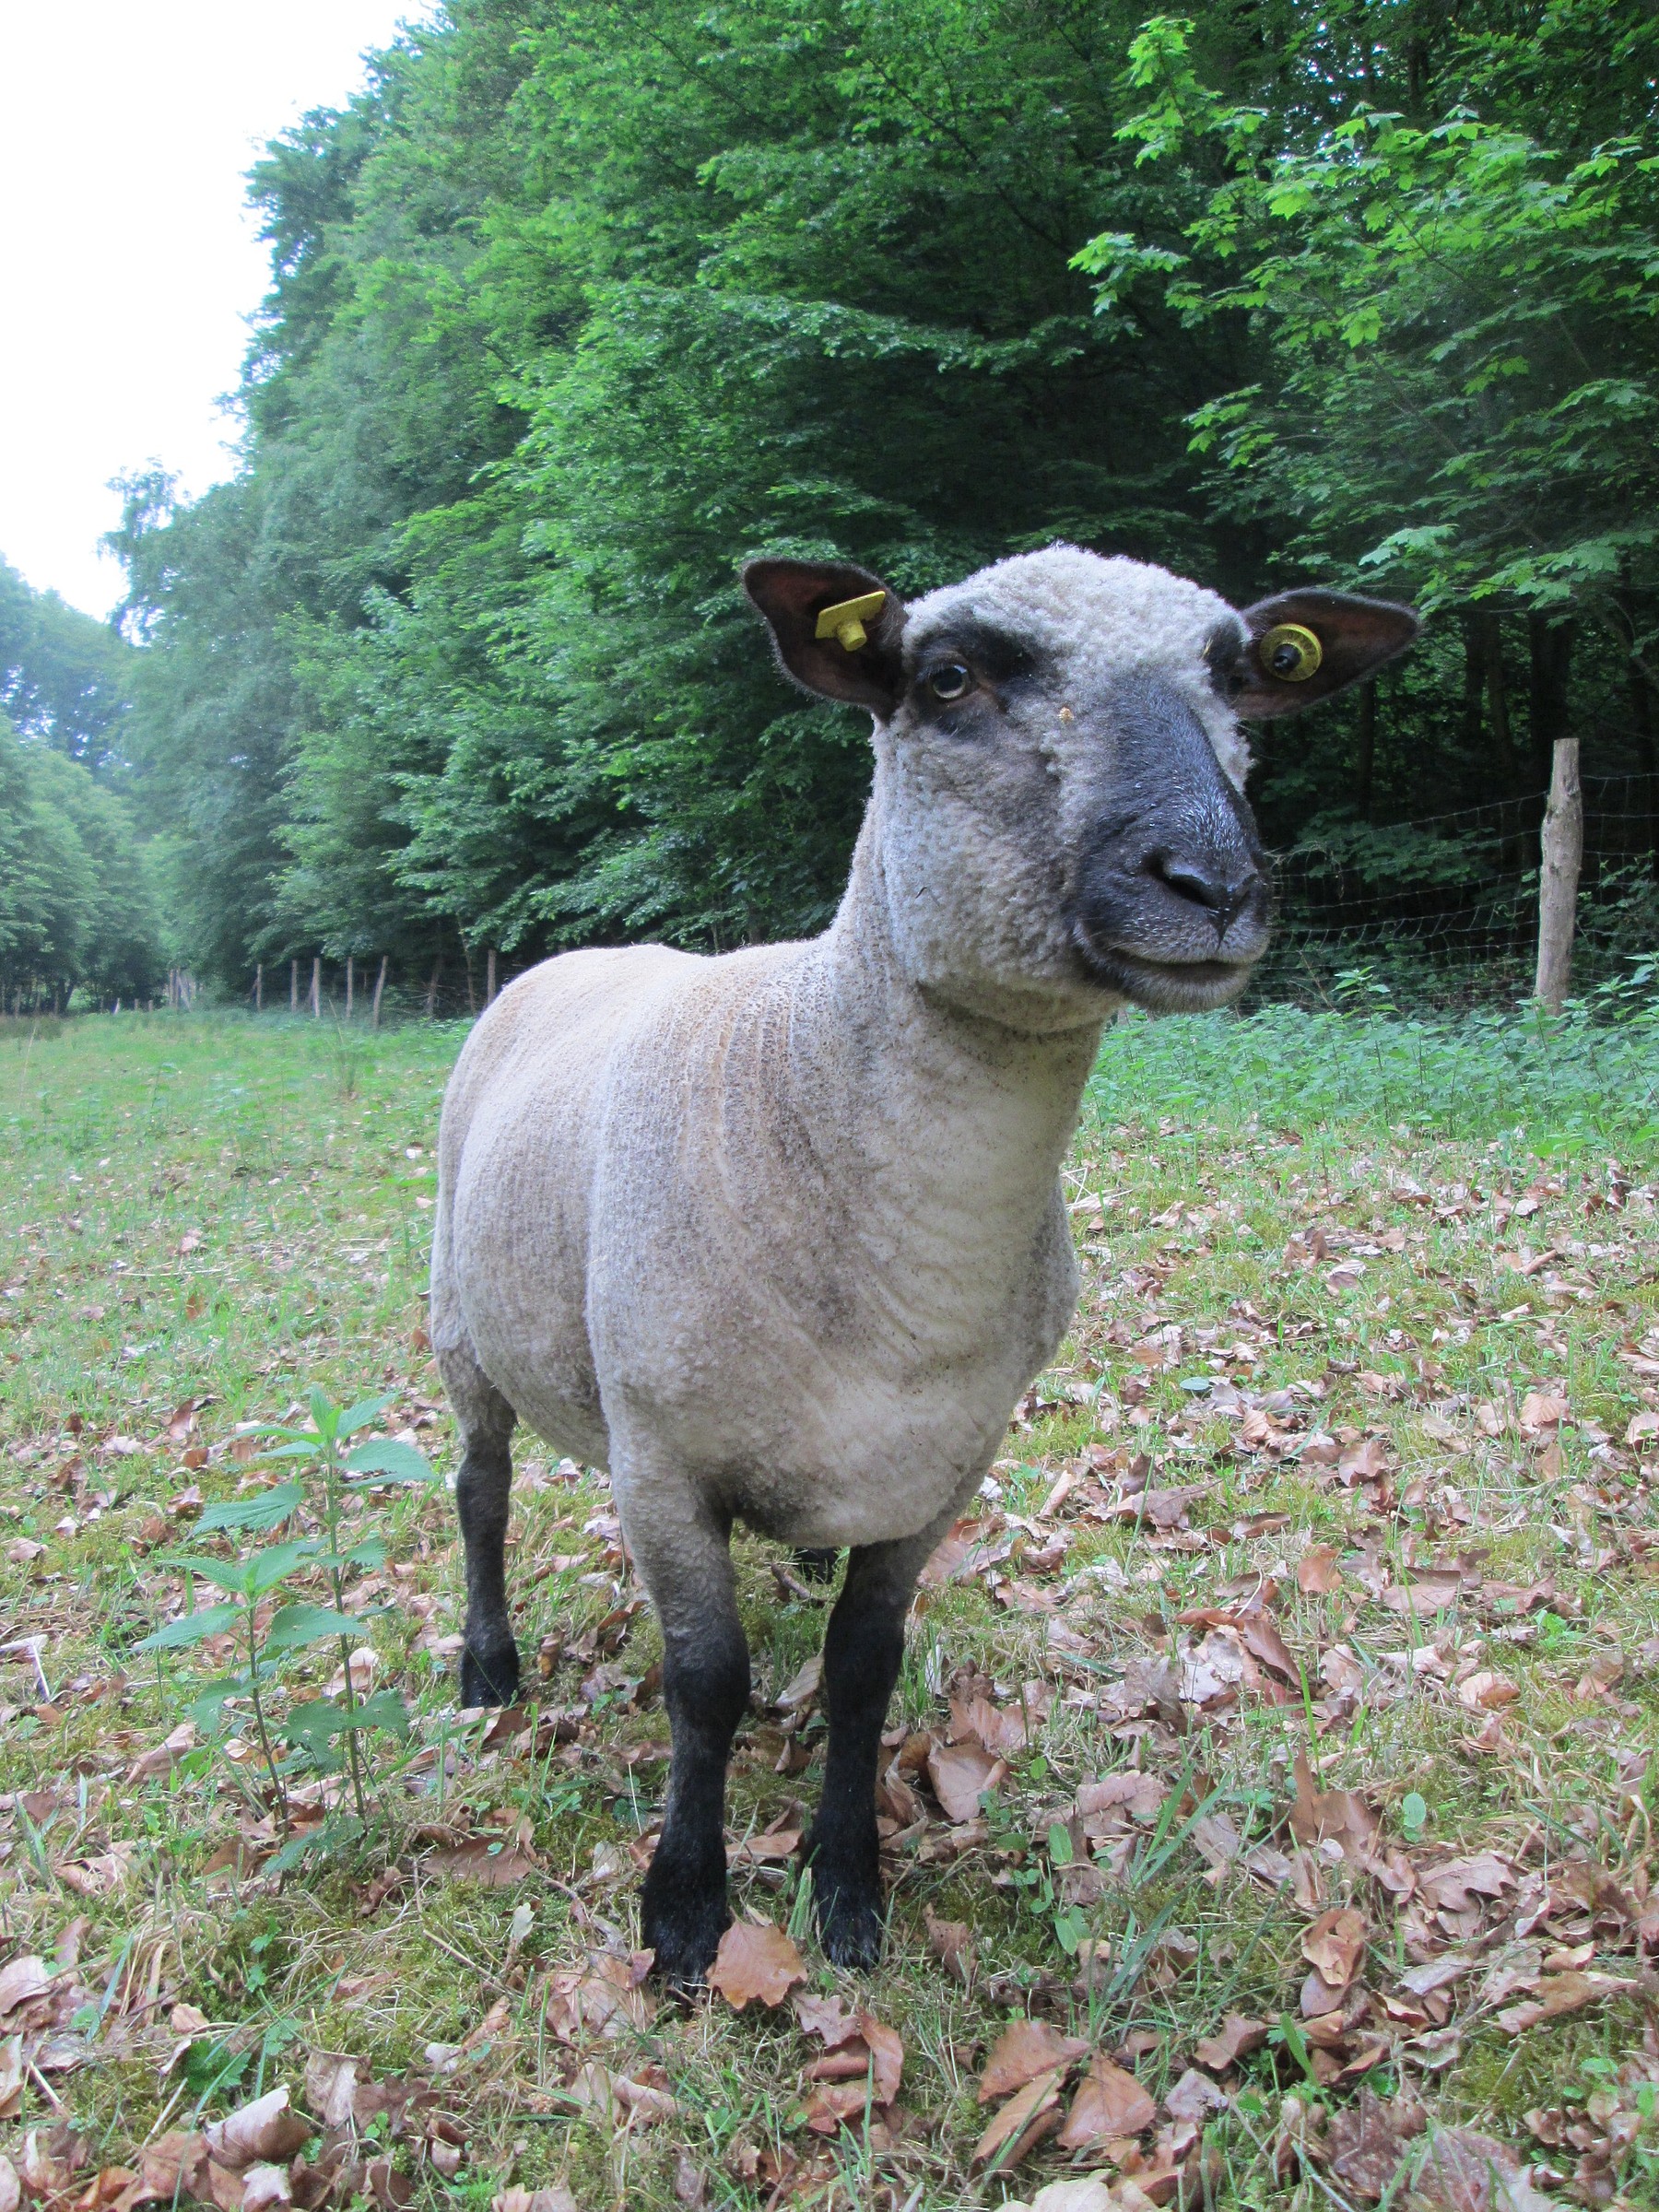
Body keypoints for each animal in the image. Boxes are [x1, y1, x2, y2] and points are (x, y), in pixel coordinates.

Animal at [431, 544, 1419, 1983]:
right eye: (948, 677)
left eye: (1248, 675)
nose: (1217, 883)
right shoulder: (661, 1457)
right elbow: (705, 1683)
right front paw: (685, 1907)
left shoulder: (946, 1465)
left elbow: (862, 1670)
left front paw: (847, 1886)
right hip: (462, 1326)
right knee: (481, 1492)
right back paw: (488, 1668)